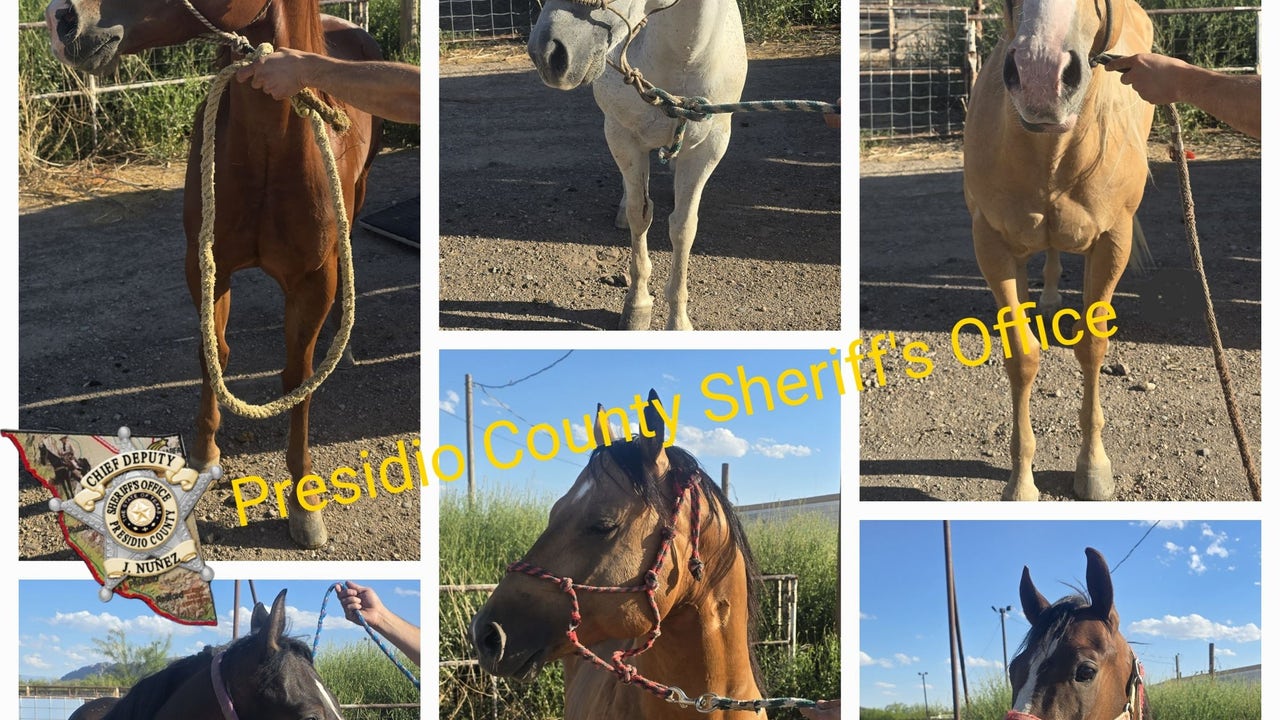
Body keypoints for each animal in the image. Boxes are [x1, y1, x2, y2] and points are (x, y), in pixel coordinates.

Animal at [43, 0, 383, 545]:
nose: (63, 19)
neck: (272, 148)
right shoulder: (206, 265)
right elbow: (213, 353)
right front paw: (203, 457)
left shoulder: (314, 281)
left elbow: (299, 376)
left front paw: (303, 501)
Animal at [527, 0, 747, 330]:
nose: (548, 51)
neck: (684, 54)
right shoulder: (623, 136)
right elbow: (639, 214)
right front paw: (637, 306)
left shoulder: (710, 146)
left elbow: (683, 227)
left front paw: (678, 321)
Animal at [963, 0, 1154, 501]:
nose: (1040, 76)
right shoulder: (990, 243)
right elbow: (1022, 356)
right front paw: (1021, 483)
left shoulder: (1113, 242)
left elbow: (1092, 347)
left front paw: (1094, 469)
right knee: (1046, 253)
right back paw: (1046, 298)